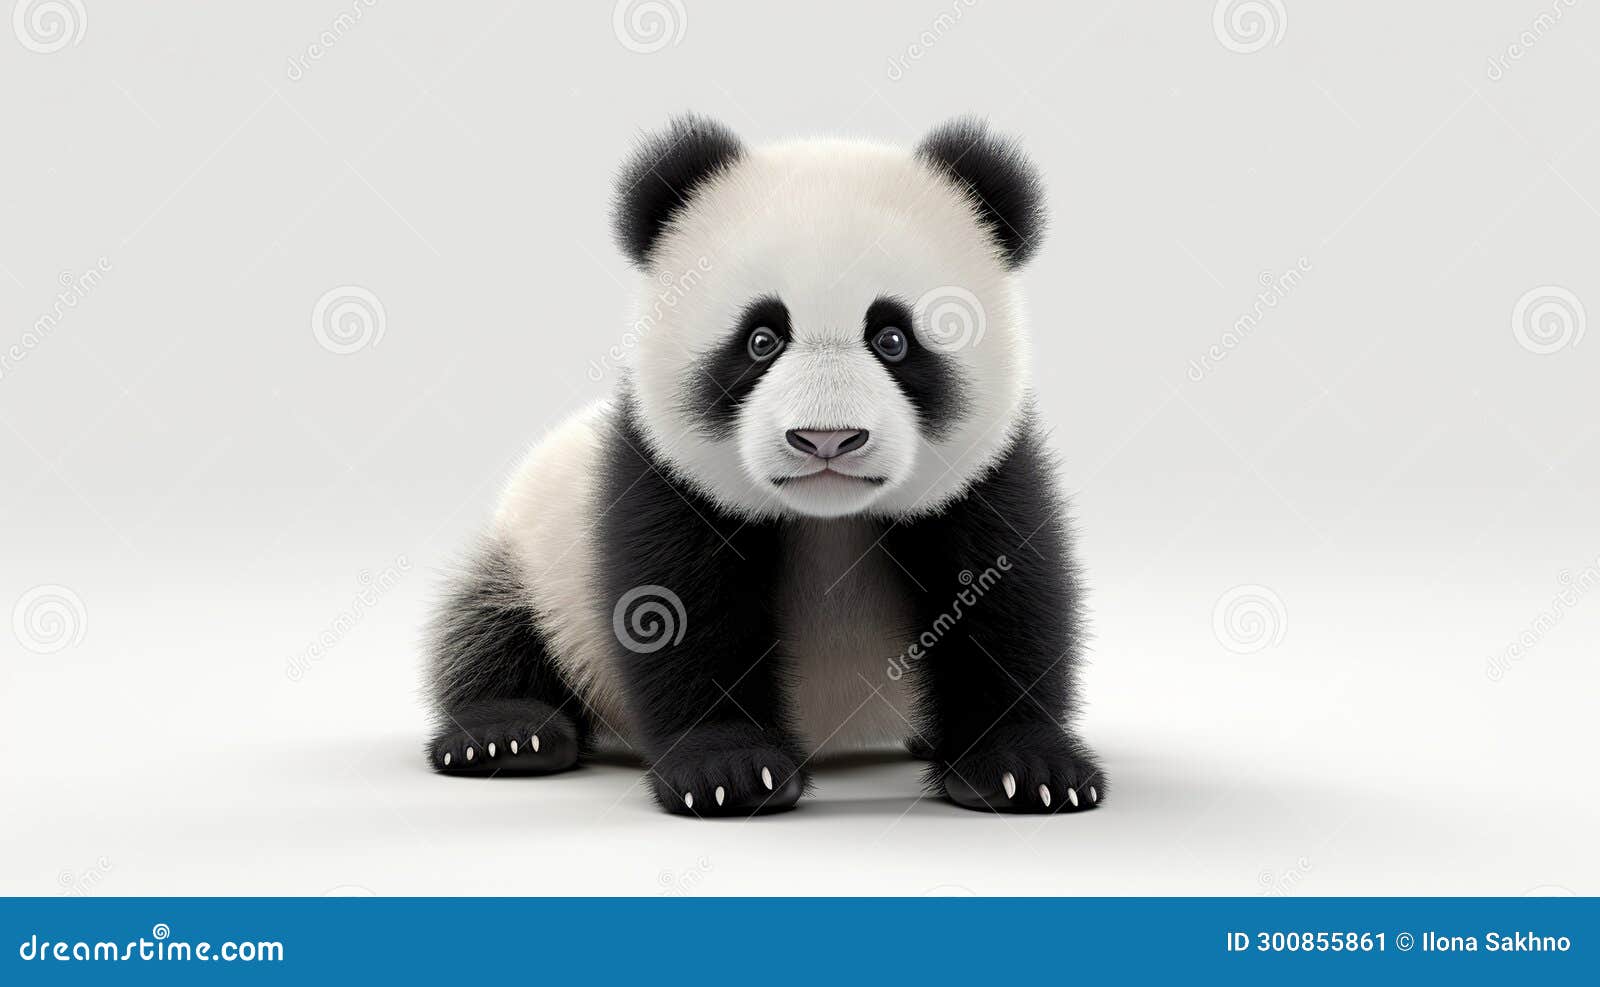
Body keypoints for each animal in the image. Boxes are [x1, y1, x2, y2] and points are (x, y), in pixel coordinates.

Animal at [425, 114, 1106, 817]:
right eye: (761, 339)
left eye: (893, 338)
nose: (827, 439)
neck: (828, 519)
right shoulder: (663, 473)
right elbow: (673, 607)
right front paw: (728, 770)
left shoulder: (985, 472)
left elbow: (1006, 597)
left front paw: (1023, 768)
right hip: (537, 560)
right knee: (489, 626)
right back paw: (508, 736)